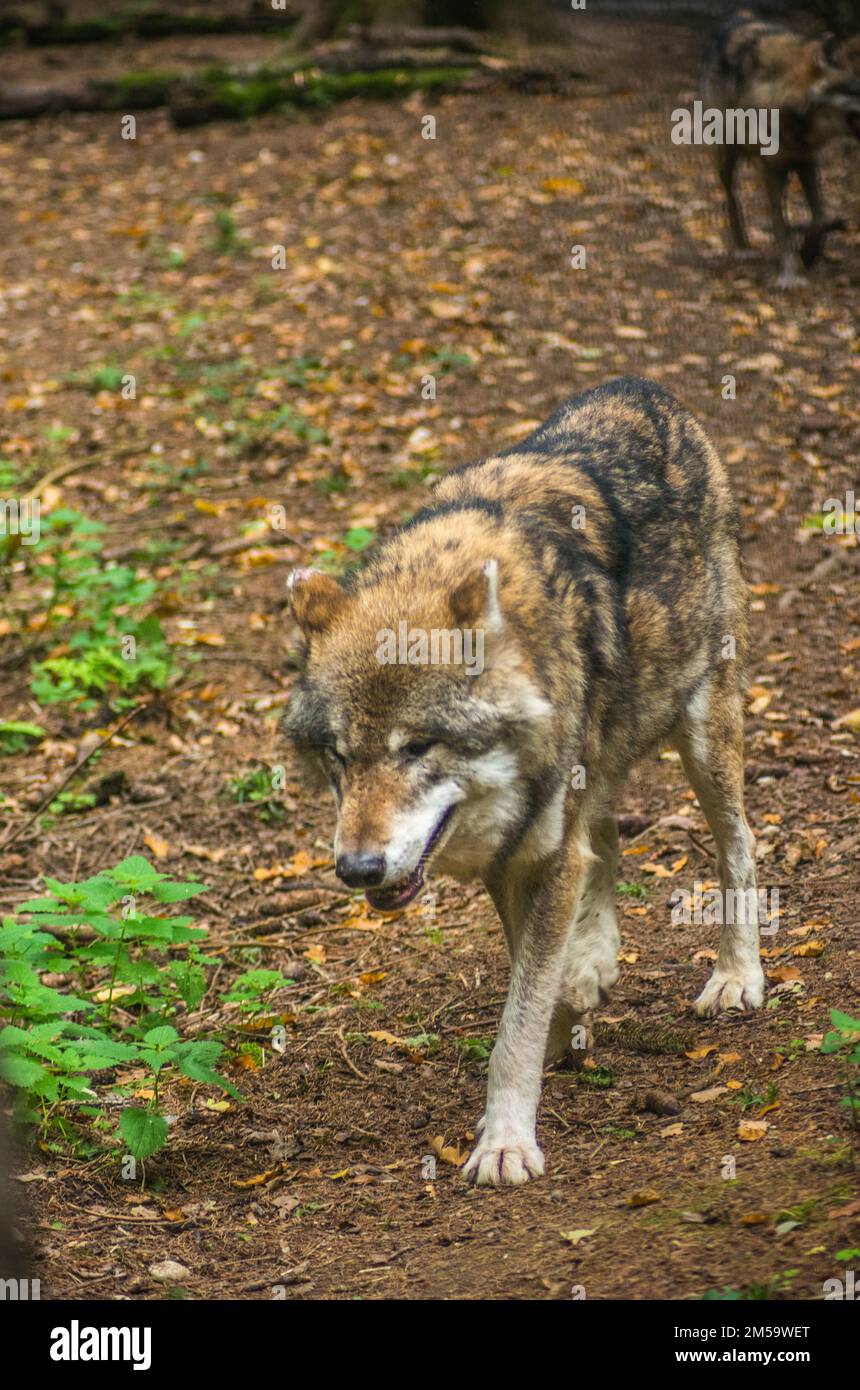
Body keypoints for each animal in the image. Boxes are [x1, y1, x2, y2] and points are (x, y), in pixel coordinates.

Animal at [284, 377, 764, 1186]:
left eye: (419, 747)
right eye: (341, 758)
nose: (358, 869)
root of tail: (642, 389)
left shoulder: (539, 855)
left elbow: (519, 1014)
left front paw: (506, 1142)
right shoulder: (515, 856)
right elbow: (534, 979)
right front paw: (571, 1014)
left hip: (703, 732)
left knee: (737, 843)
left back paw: (736, 977)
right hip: (598, 765)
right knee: (605, 838)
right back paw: (595, 962)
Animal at [702, 10, 860, 286]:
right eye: (857, 90)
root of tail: (738, 15)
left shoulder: (806, 161)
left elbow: (819, 217)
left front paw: (809, 253)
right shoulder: (771, 168)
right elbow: (780, 223)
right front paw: (790, 274)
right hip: (727, 157)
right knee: (732, 198)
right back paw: (743, 247)